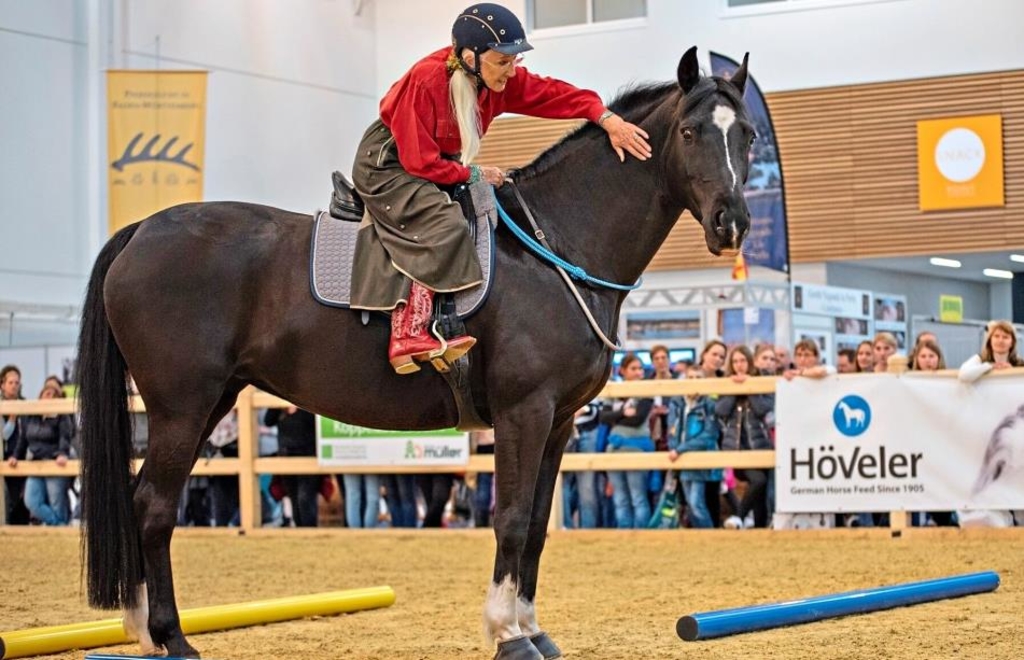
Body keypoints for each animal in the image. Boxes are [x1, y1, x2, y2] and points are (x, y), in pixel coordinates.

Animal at [77, 46, 754, 659]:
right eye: (690, 132)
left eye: (746, 135)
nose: (733, 223)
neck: (554, 245)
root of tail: (142, 231)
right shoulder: (524, 413)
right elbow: (510, 518)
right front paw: (508, 635)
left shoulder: (559, 422)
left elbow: (536, 526)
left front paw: (532, 628)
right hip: (181, 406)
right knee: (154, 506)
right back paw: (171, 637)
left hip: (210, 402)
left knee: (145, 502)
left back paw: (145, 632)